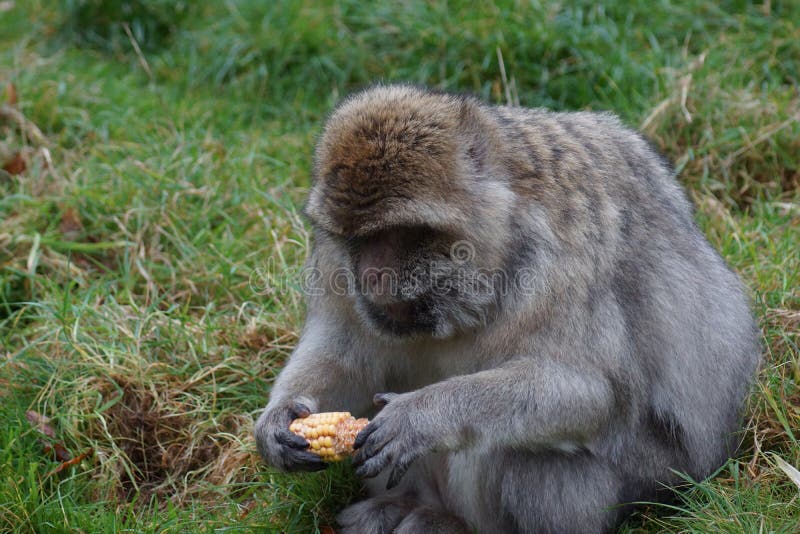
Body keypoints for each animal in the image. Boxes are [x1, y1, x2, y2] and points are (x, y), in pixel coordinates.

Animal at [254, 84, 761, 533]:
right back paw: (401, 506)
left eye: (397, 234)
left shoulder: (561, 263)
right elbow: (346, 354)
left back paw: (452, 523)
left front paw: (424, 415)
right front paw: (279, 419)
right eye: (356, 240)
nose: (371, 275)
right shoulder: (331, 264)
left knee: (518, 445)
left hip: (629, 488)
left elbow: (590, 392)